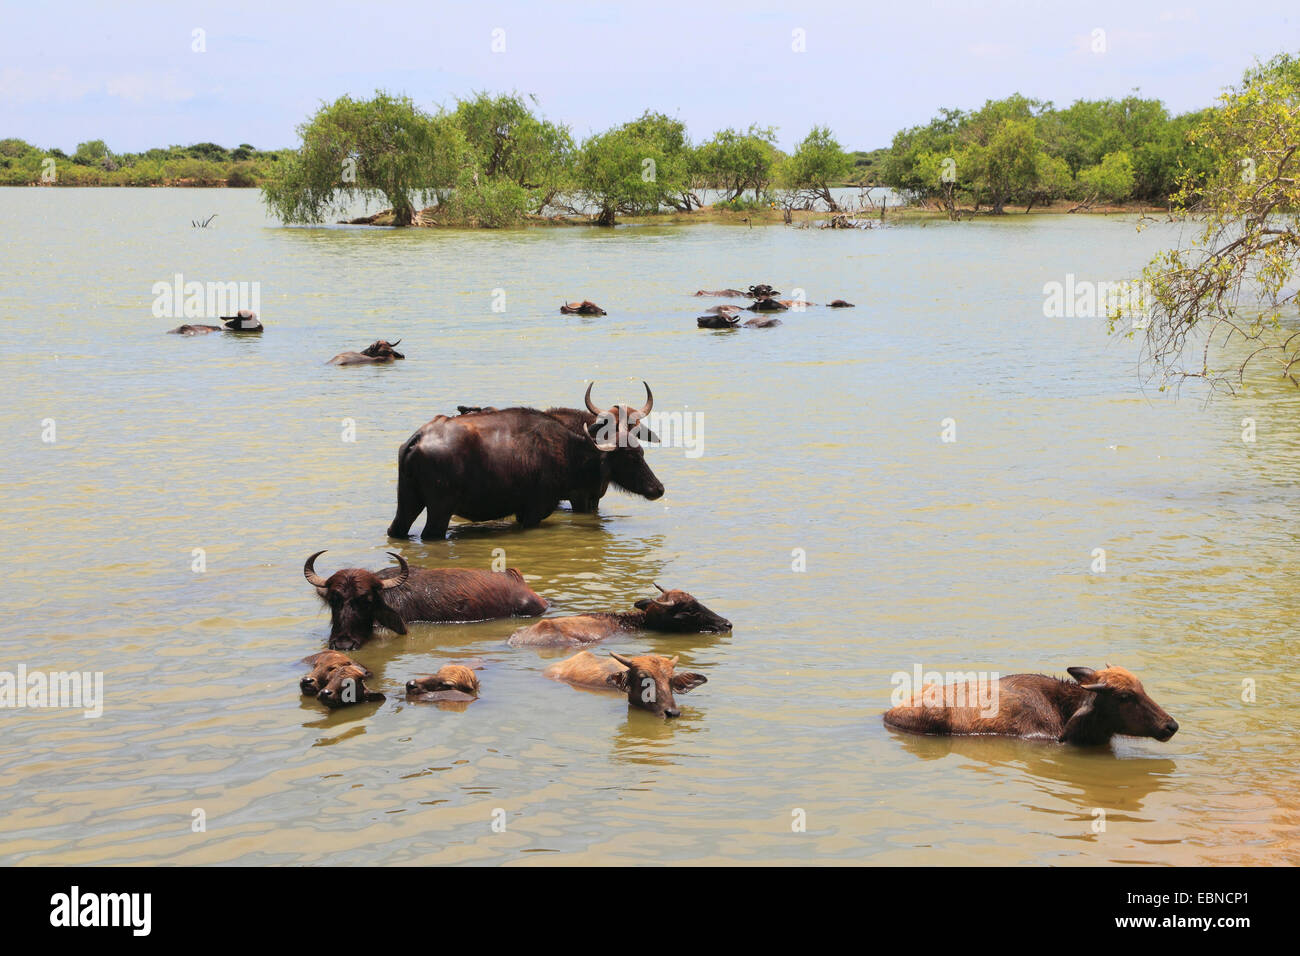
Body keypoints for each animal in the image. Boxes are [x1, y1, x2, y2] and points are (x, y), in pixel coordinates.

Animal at [387, 383, 664, 540]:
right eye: (629, 456)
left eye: (641, 451)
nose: (658, 488)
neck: (572, 452)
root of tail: (417, 440)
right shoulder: (535, 509)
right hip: (439, 510)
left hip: (407, 502)